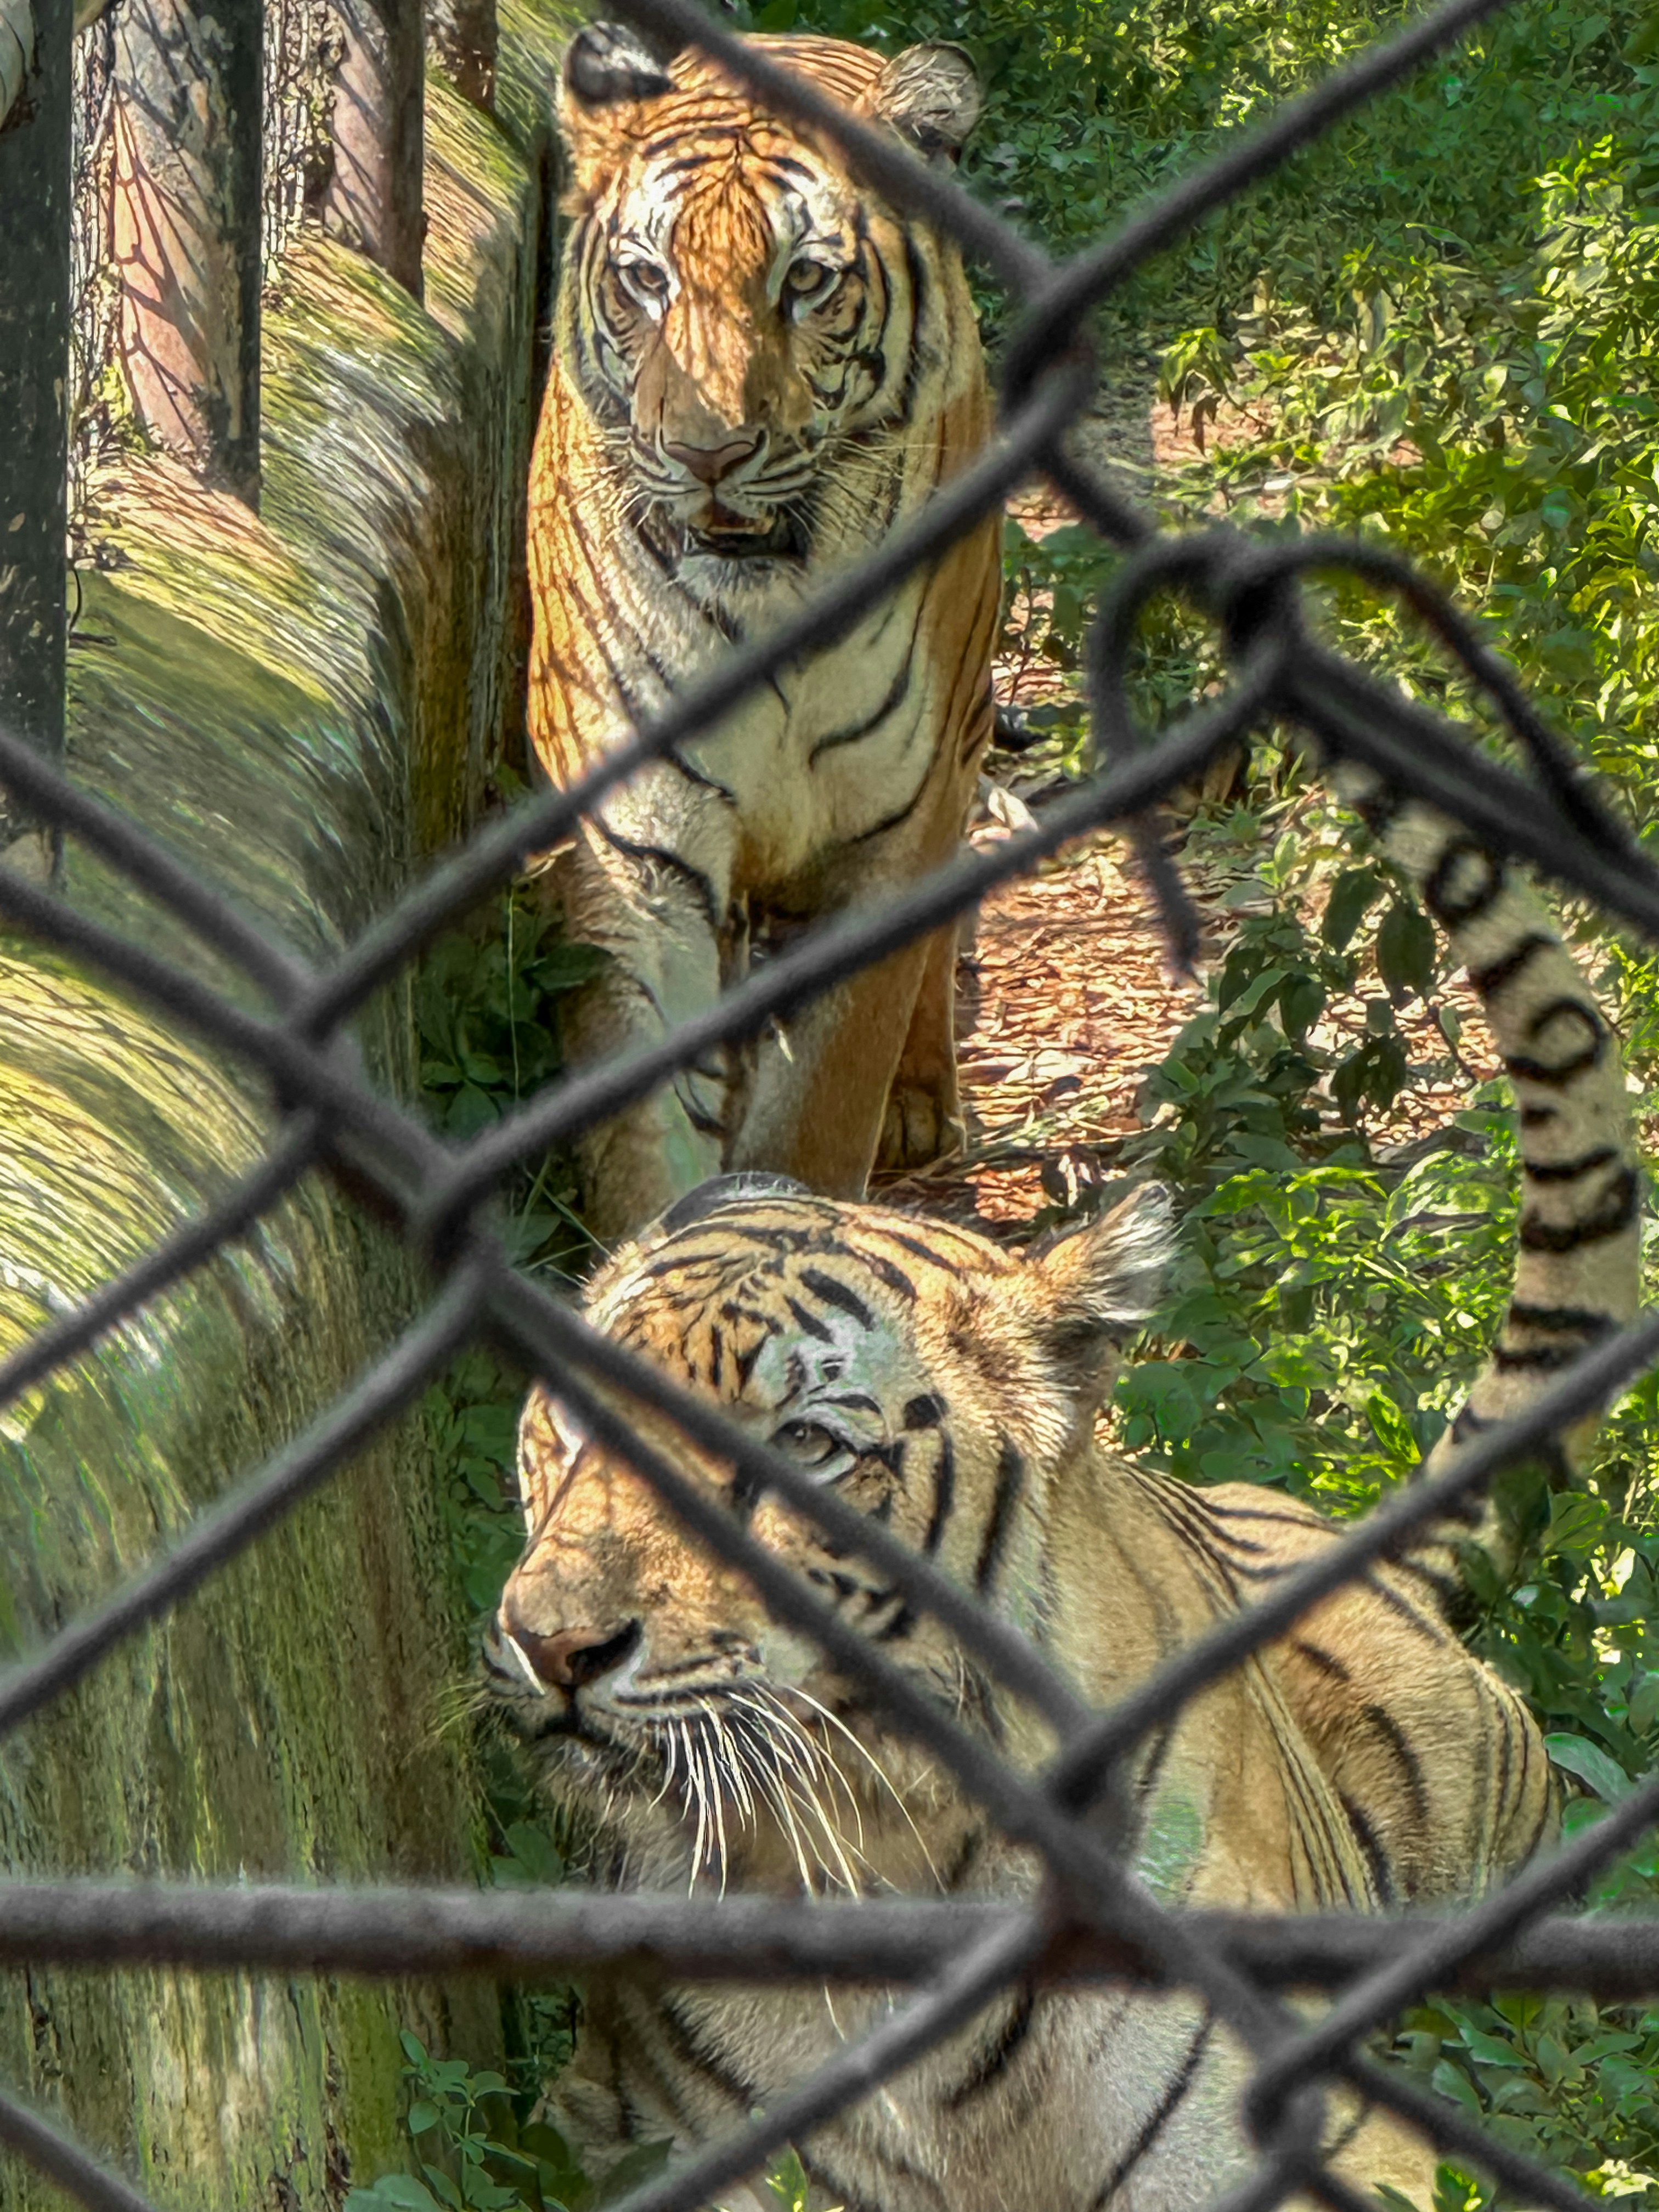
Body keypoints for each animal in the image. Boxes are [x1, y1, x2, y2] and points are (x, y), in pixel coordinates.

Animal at [526, 21, 1002, 1243]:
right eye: (646, 279)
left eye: (807, 280)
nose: (707, 453)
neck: (765, 606)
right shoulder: (636, 847)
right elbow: (643, 1127)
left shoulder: (888, 829)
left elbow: (820, 1107)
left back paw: (919, 1102)